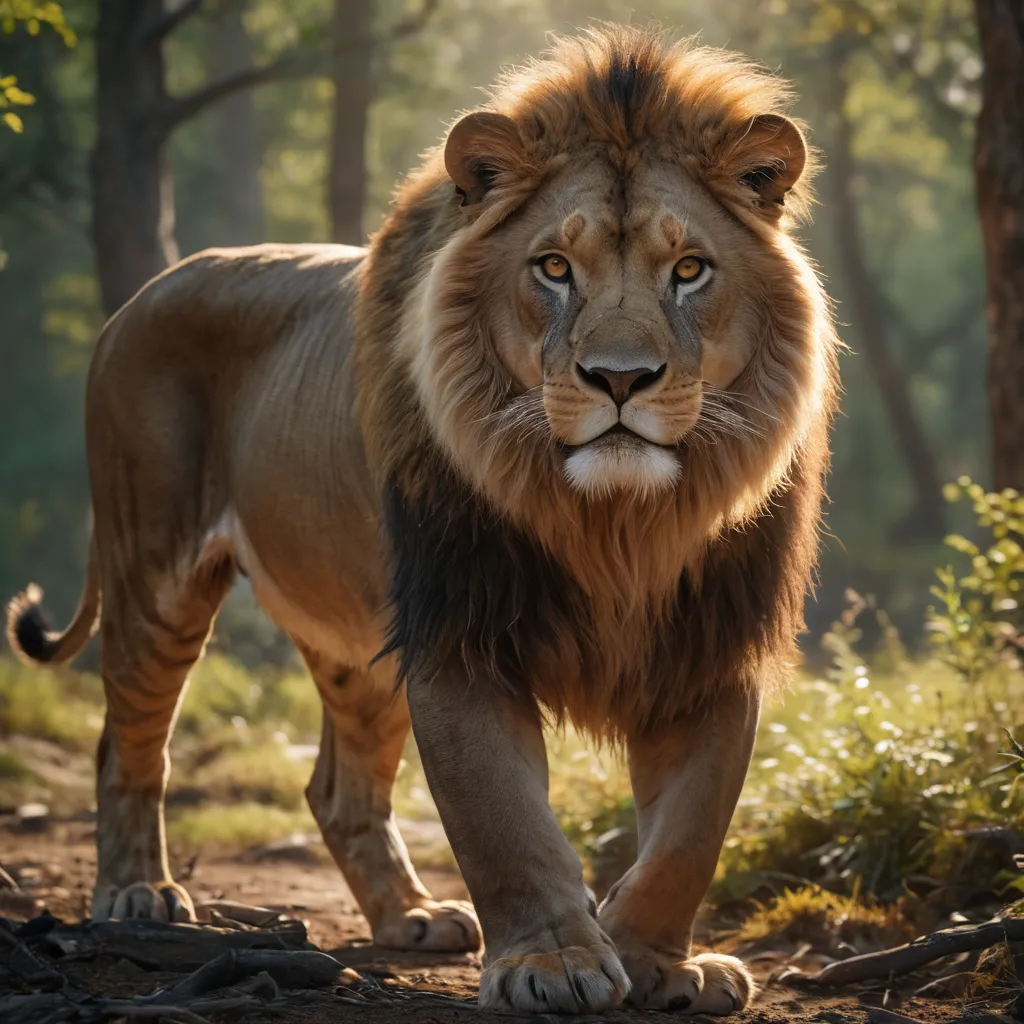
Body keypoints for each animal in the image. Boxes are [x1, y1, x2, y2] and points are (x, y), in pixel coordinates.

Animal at [6, 26, 838, 1016]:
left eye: (689, 270)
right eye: (554, 268)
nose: (620, 379)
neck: (617, 524)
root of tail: (144, 292)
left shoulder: (714, 640)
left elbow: (689, 833)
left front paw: (658, 964)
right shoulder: (456, 627)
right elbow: (501, 819)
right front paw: (552, 963)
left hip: (362, 642)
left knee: (338, 789)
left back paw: (409, 916)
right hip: (153, 567)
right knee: (125, 742)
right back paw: (138, 893)